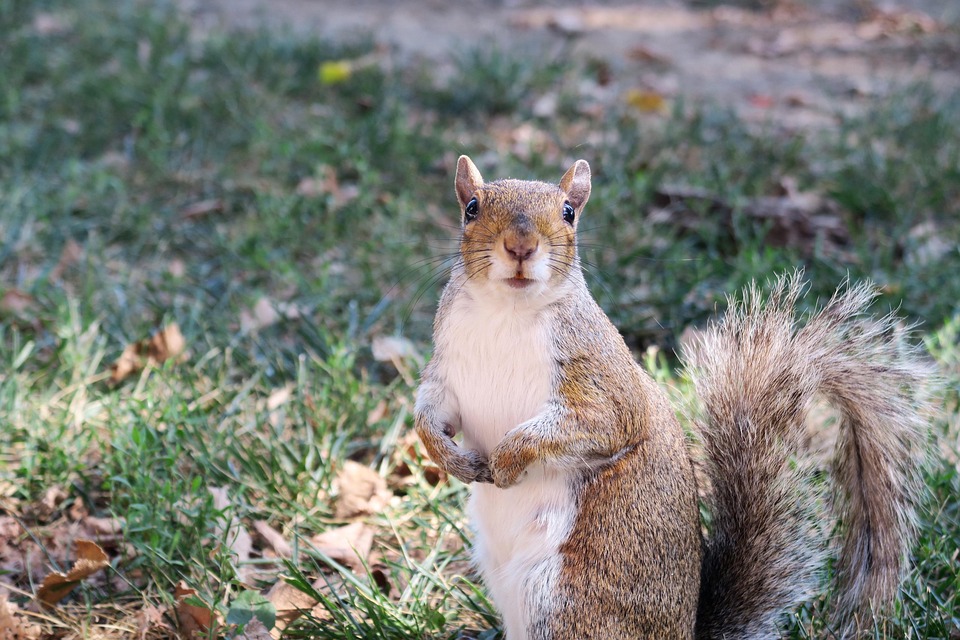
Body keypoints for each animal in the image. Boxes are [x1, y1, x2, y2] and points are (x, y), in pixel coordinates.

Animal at [413, 156, 931, 639]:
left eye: (568, 213)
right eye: (471, 208)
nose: (520, 247)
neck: (507, 311)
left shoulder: (600, 378)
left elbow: (603, 422)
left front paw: (505, 460)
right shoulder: (446, 369)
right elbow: (430, 412)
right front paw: (451, 457)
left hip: (569, 601)